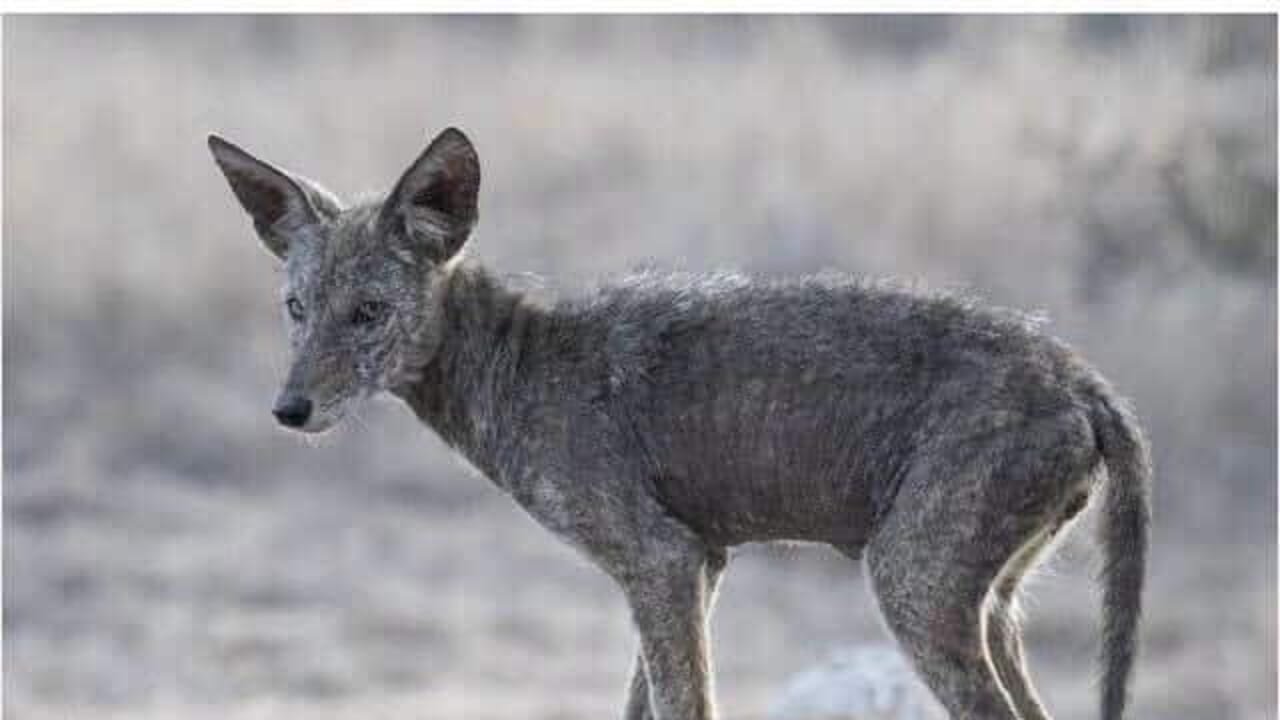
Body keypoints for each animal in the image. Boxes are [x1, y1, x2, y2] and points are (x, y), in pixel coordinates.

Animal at [208, 127, 1151, 720]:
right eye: (297, 309)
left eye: (367, 313)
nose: (289, 410)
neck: (519, 364)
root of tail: (1081, 378)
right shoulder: (693, 563)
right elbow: (644, 704)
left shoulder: (660, 562)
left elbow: (685, 704)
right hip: (989, 607)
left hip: (912, 586)